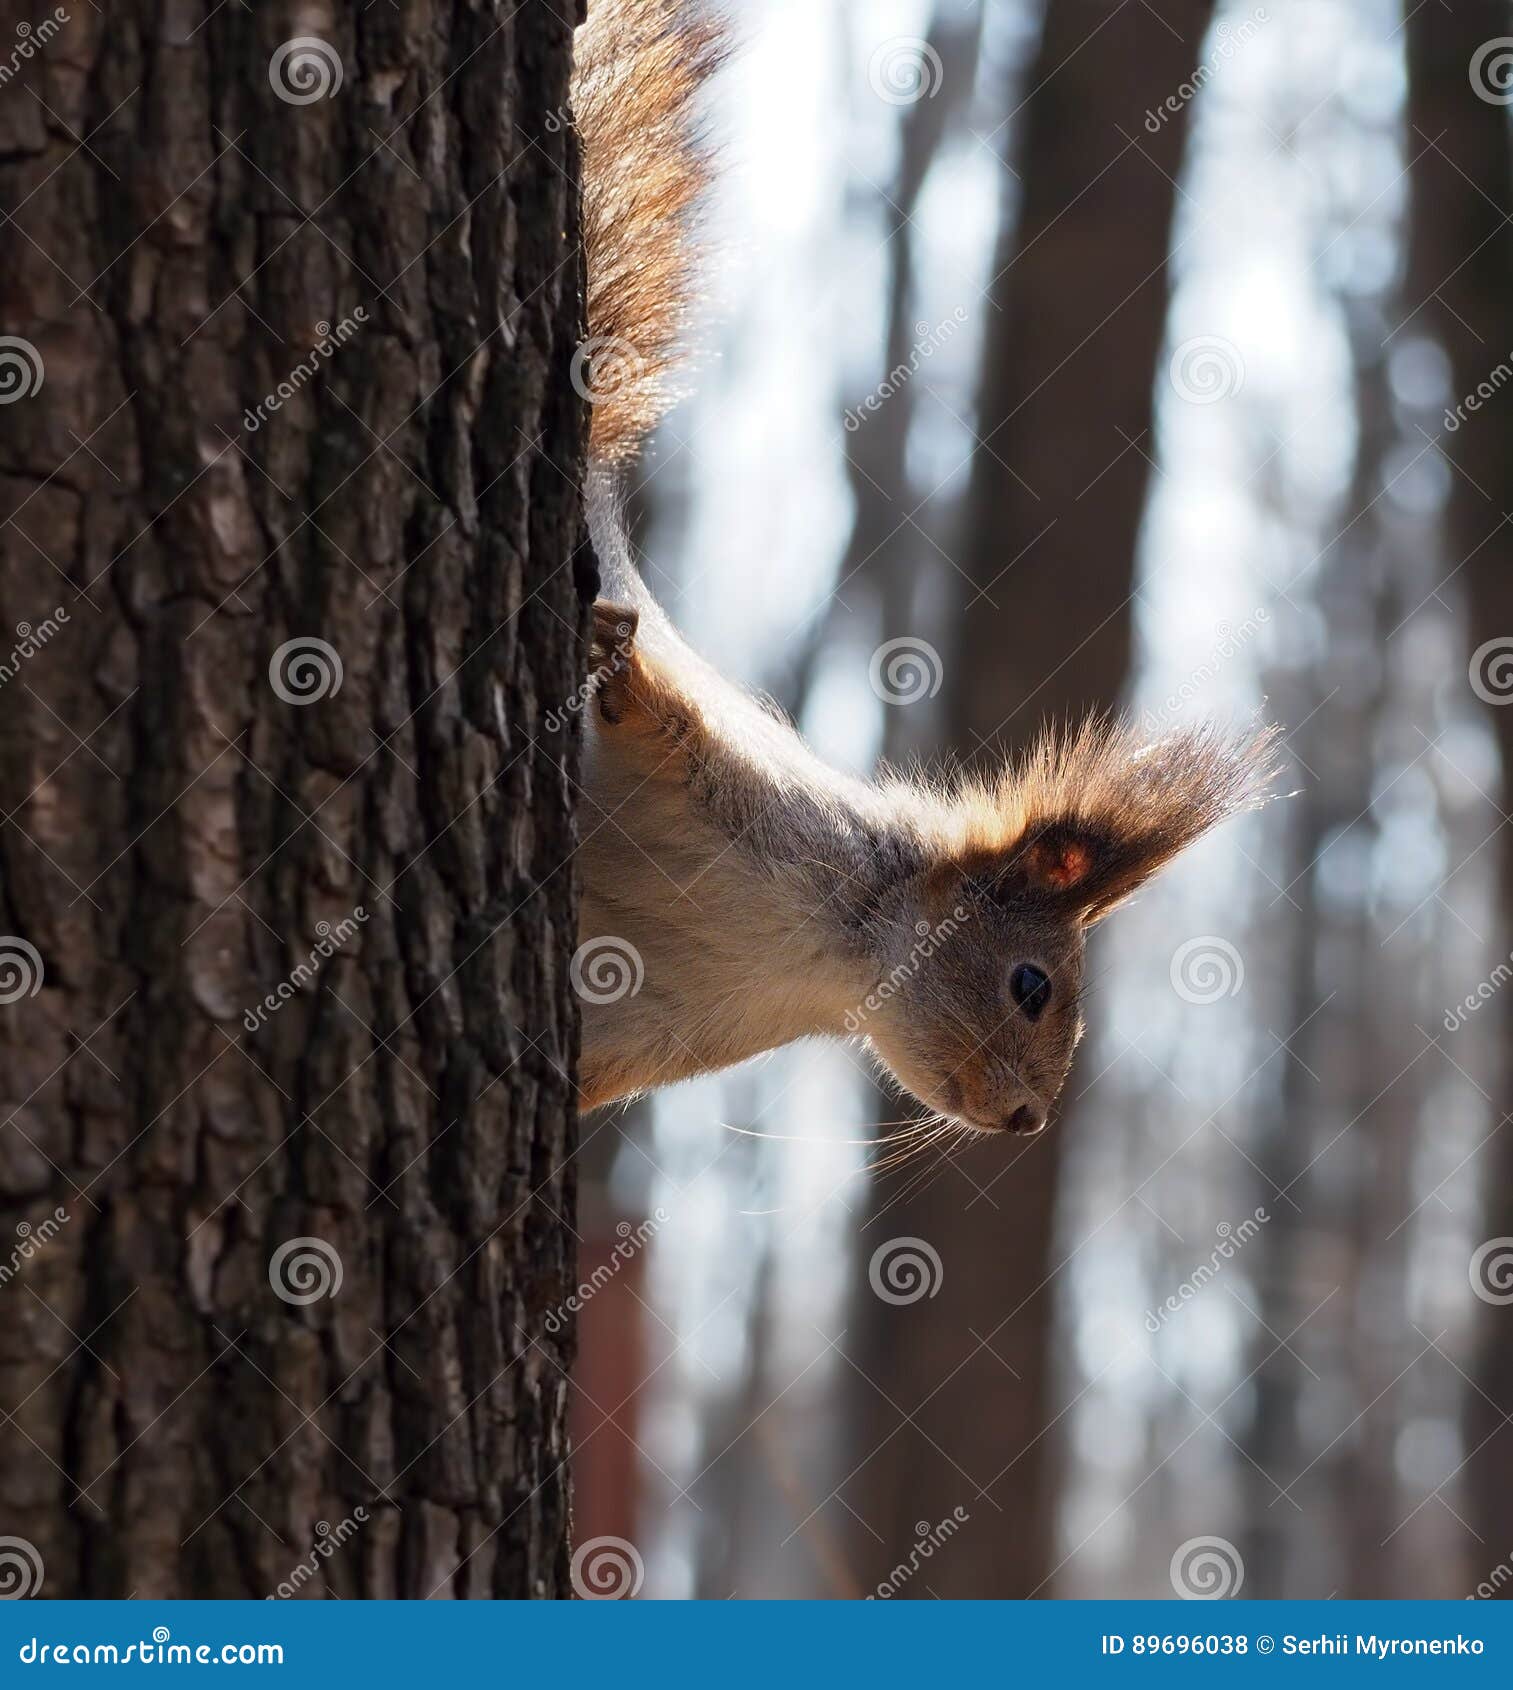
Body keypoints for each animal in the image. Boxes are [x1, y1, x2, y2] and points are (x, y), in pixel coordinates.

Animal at [567, 0, 1277, 1133]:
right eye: (1030, 985)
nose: (1027, 1119)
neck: (825, 960)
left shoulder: (662, 1027)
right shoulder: (743, 785)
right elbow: (659, 716)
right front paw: (618, 654)